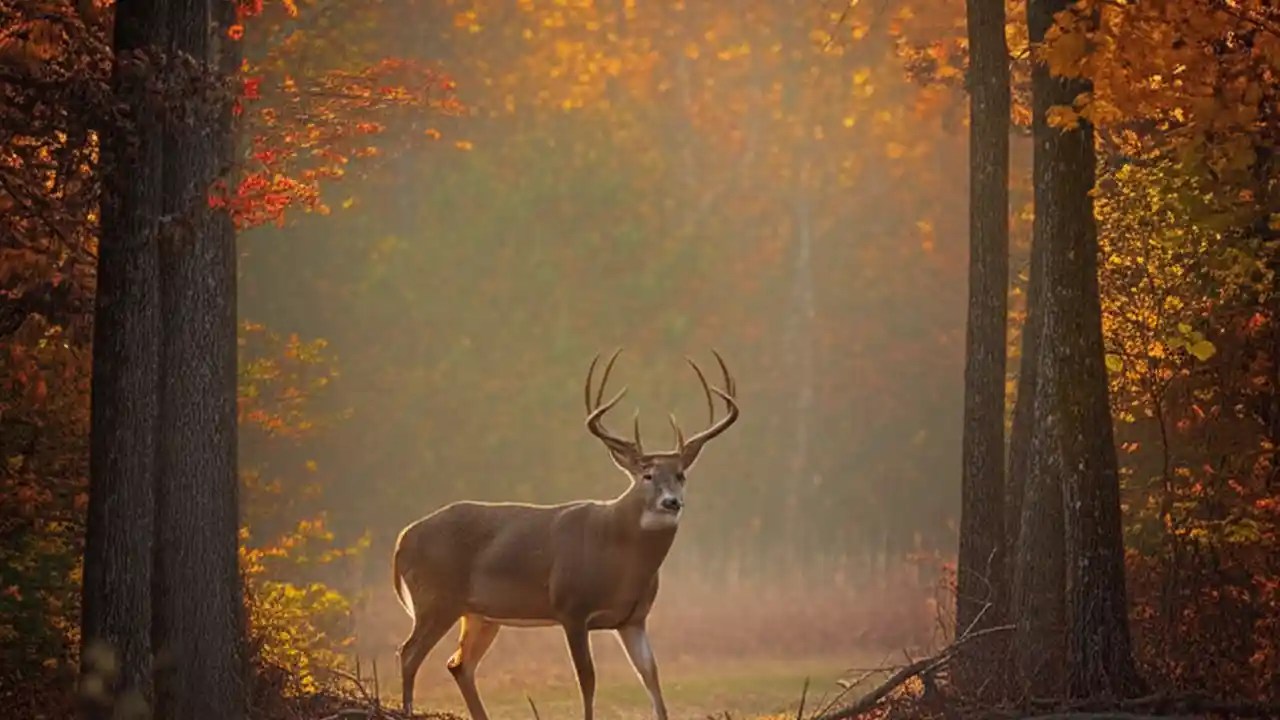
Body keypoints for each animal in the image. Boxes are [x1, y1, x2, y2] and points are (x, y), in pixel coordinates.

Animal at [391, 349, 740, 720]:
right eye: (647, 475)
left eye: (681, 474)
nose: (672, 502)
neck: (619, 554)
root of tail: (402, 539)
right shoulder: (571, 606)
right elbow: (587, 678)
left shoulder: (633, 618)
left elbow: (651, 675)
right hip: (435, 598)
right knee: (409, 653)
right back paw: (408, 708)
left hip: (479, 613)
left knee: (459, 664)